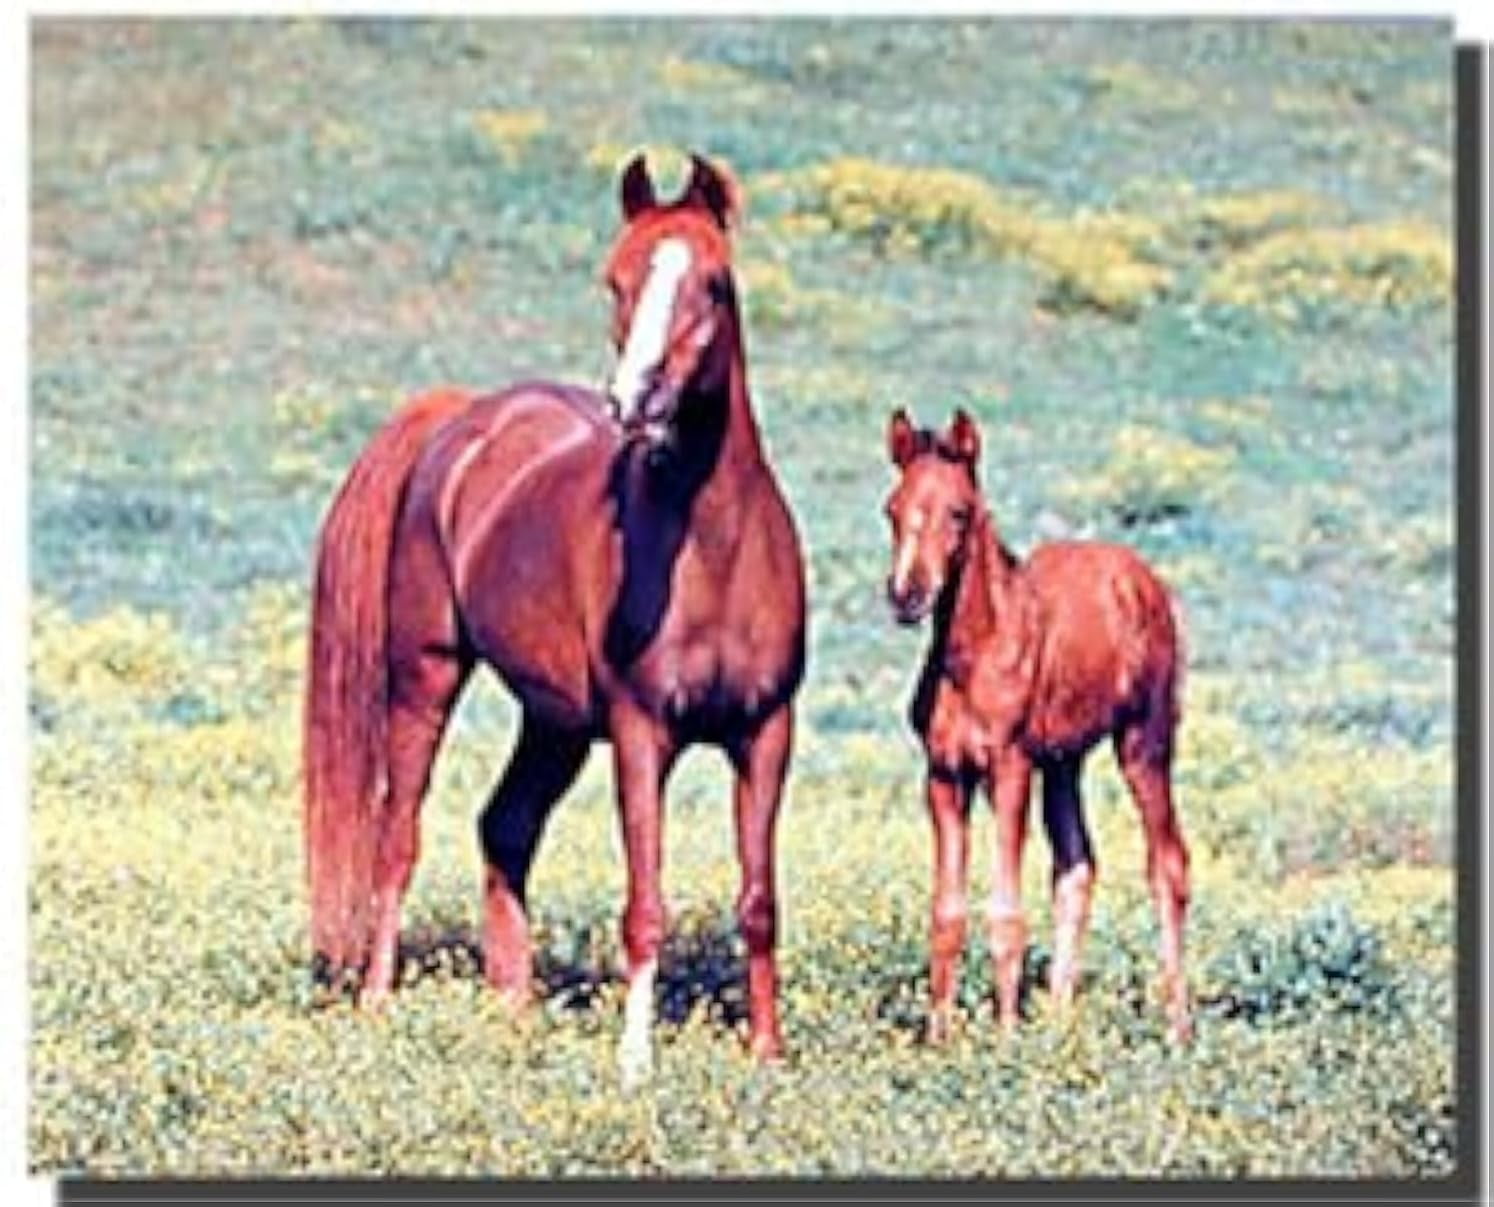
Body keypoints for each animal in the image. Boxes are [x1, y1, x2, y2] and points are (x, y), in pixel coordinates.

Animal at [302, 154, 807, 1087]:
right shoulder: (643, 734)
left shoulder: (766, 731)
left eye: (714, 283)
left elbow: (759, 899)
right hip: (425, 677)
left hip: (555, 721)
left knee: (505, 827)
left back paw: (512, 1012)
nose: (635, 401)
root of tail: (462, 418)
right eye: (615, 279)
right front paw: (636, 1063)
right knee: (399, 835)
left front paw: (766, 1050)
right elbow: (645, 901)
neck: (713, 551)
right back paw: (380, 1002)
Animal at [882, 407, 1192, 1045]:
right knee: (1076, 867)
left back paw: (1178, 1031)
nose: (907, 595)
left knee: (1168, 864)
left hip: (1144, 742)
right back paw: (1057, 1028)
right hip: (1064, 761)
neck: (972, 658)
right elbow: (947, 914)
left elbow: (1005, 914)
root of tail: (1143, 579)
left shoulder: (1009, 768)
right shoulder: (943, 775)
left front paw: (1003, 1041)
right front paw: (940, 1041)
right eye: (892, 509)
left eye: (959, 511)